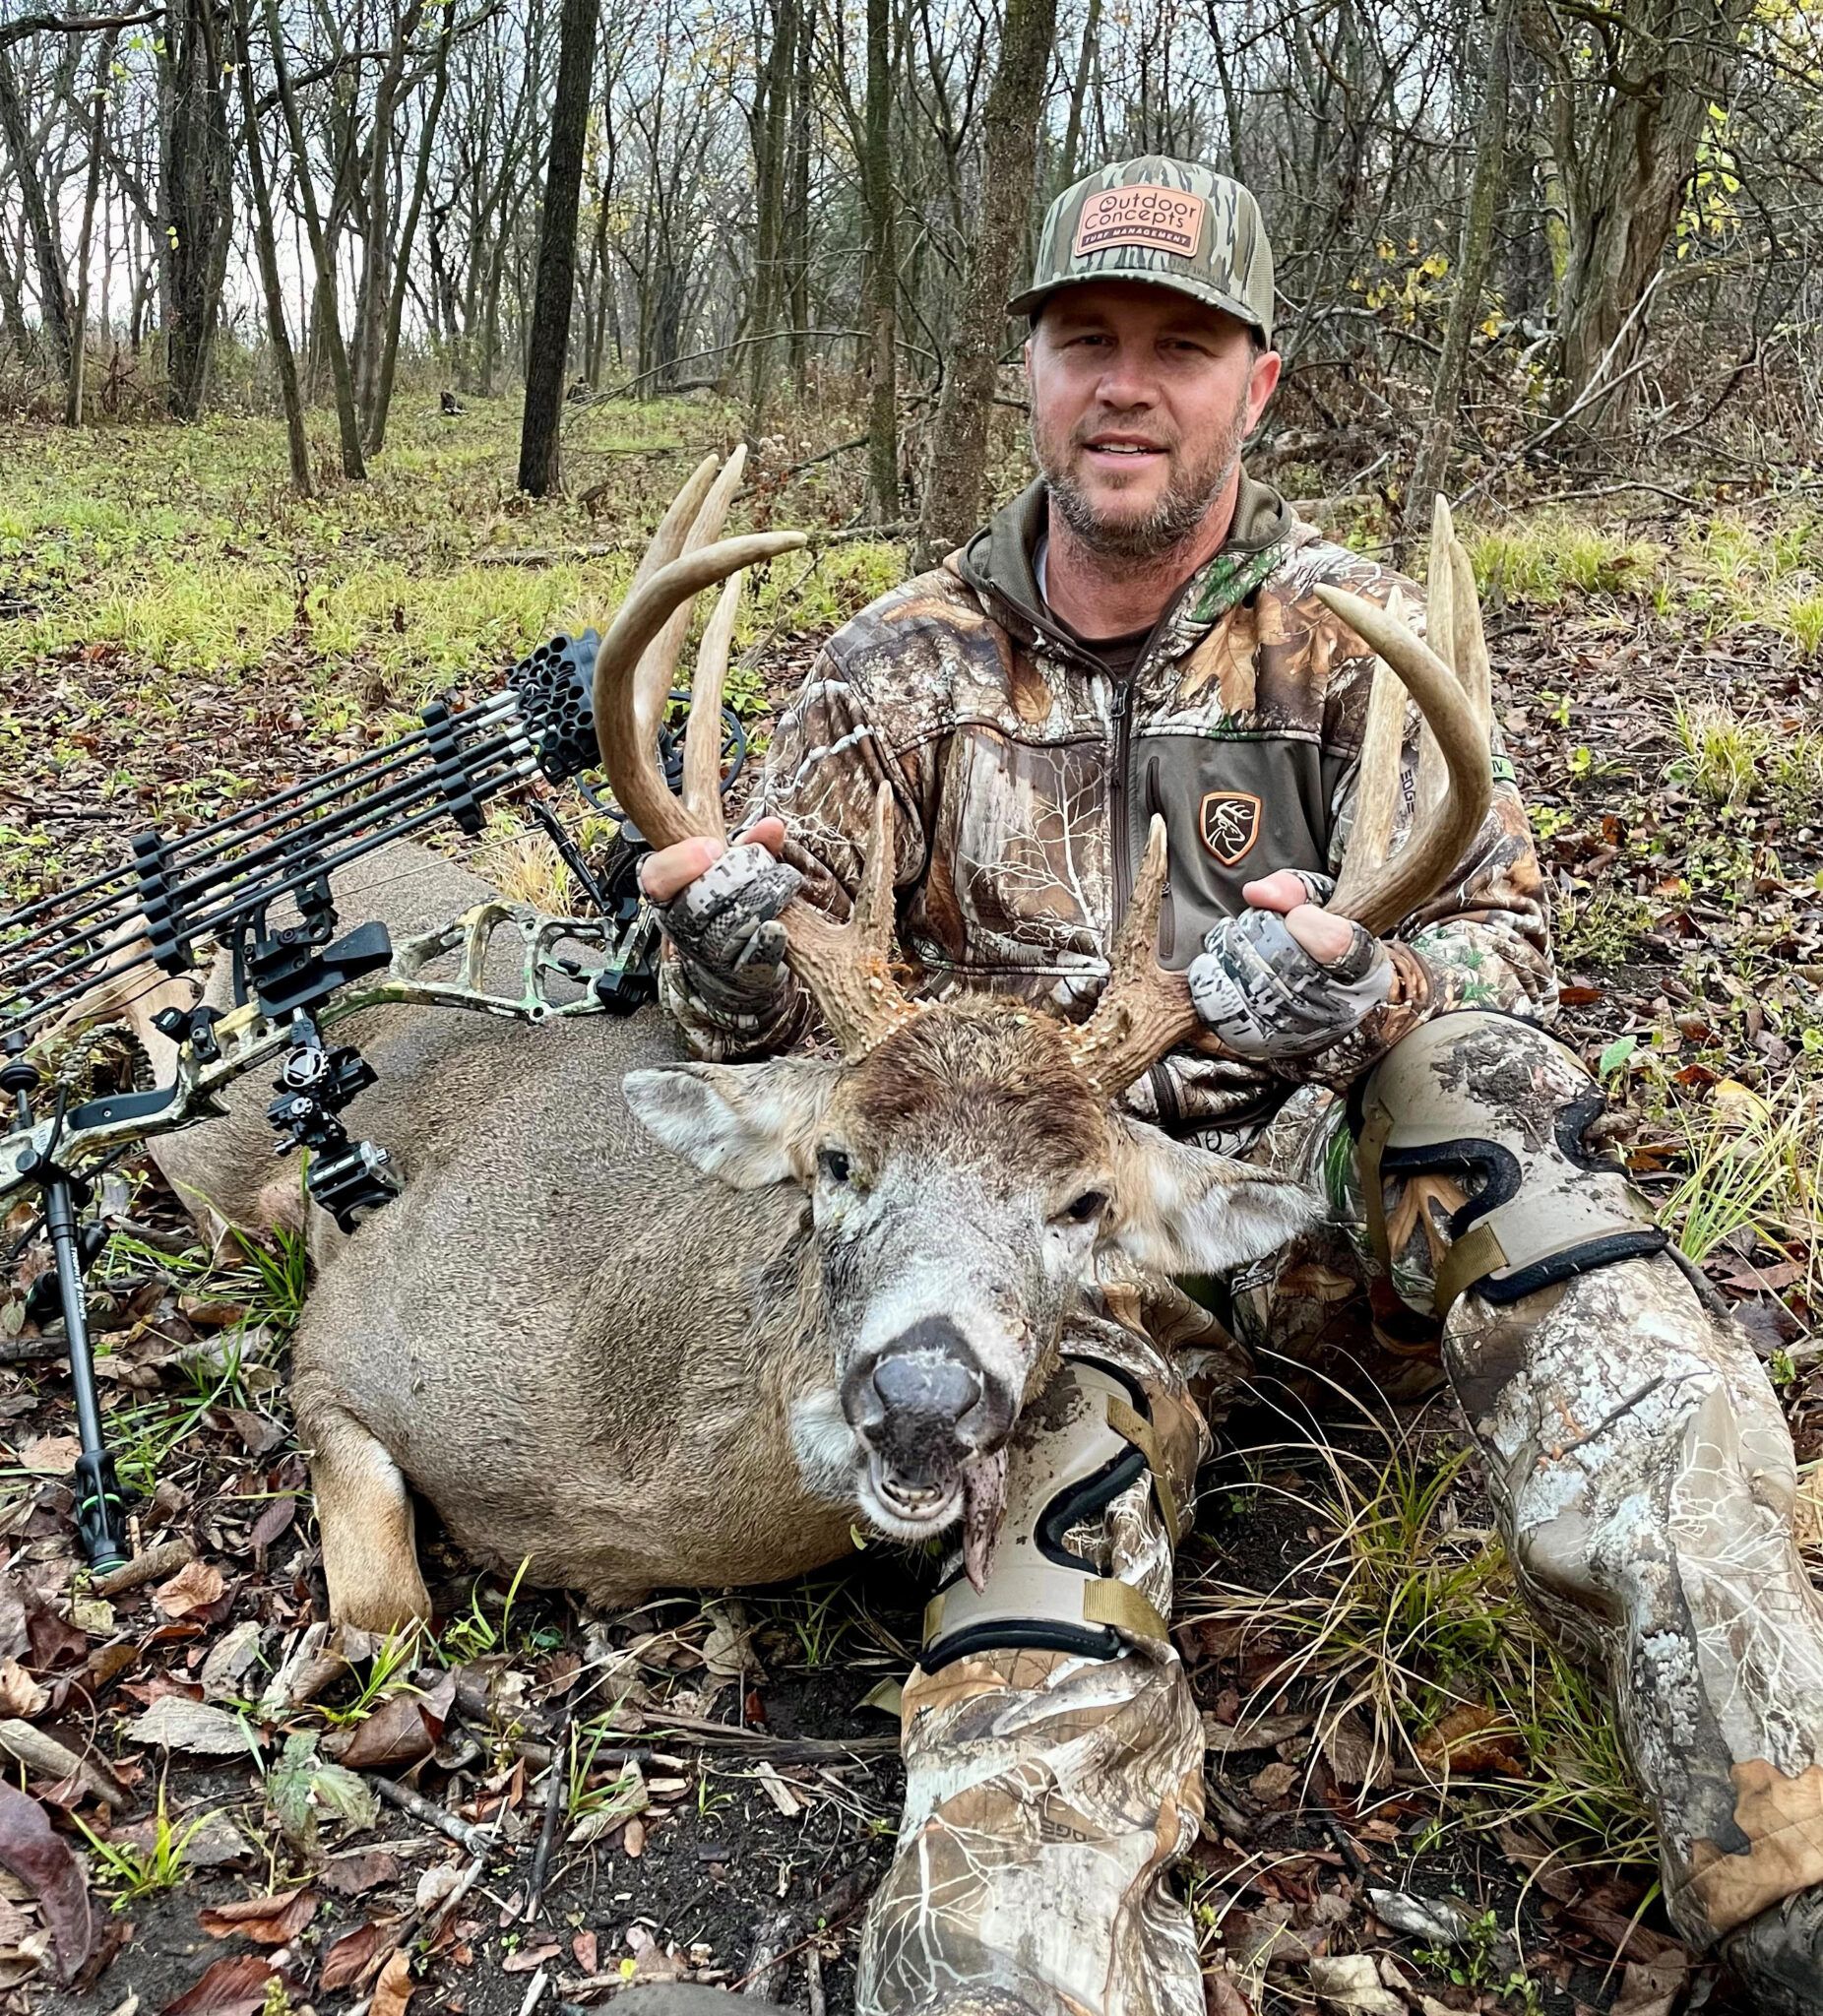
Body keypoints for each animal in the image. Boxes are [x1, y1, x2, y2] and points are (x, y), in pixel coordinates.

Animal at [133, 460, 1492, 1633]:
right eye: (836, 1159)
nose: (926, 1400)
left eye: (1085, 1203)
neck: (627, 1461)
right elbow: (388, 1612)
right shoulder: (346, 1331)